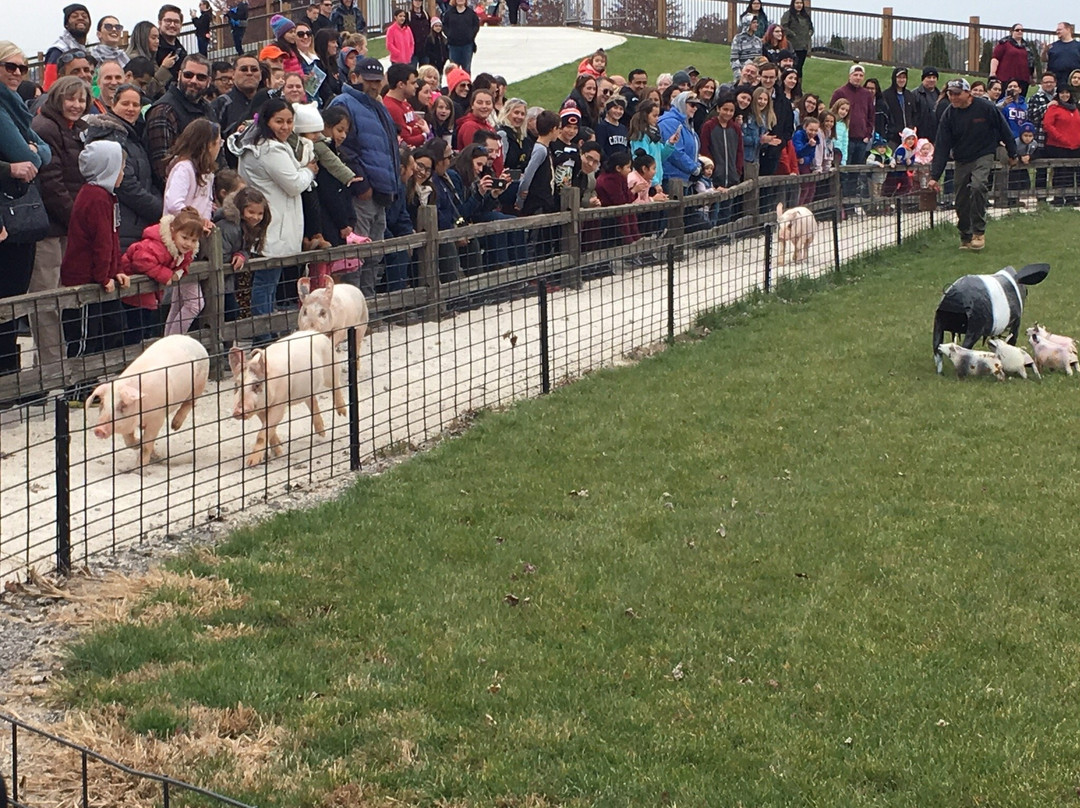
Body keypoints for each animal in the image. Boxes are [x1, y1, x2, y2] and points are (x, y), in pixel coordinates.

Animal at [85, 330, 209, 464]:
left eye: (122, 405)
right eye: (102, 404)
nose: (99, 430)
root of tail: (190, 339)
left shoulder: (157, 417)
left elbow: (146, 444)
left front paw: (139, 466)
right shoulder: (128, 422)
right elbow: (128, 442)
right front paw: (139, 444)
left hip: (200, 381)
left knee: (189, 402)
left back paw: (174, 426)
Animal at [232, 330, 336, 466]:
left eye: (256, 385)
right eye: (236, 385)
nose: (237, 411)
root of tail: (314, 332)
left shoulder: (280, 403)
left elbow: (263, 432)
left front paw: (251, 463)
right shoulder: (260, 409)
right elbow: (268, 428)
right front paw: (279, 451)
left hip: (331, 366)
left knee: (337, 385)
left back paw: (342, 412)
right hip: (307, 389)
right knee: (312, 401)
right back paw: (321, 434)